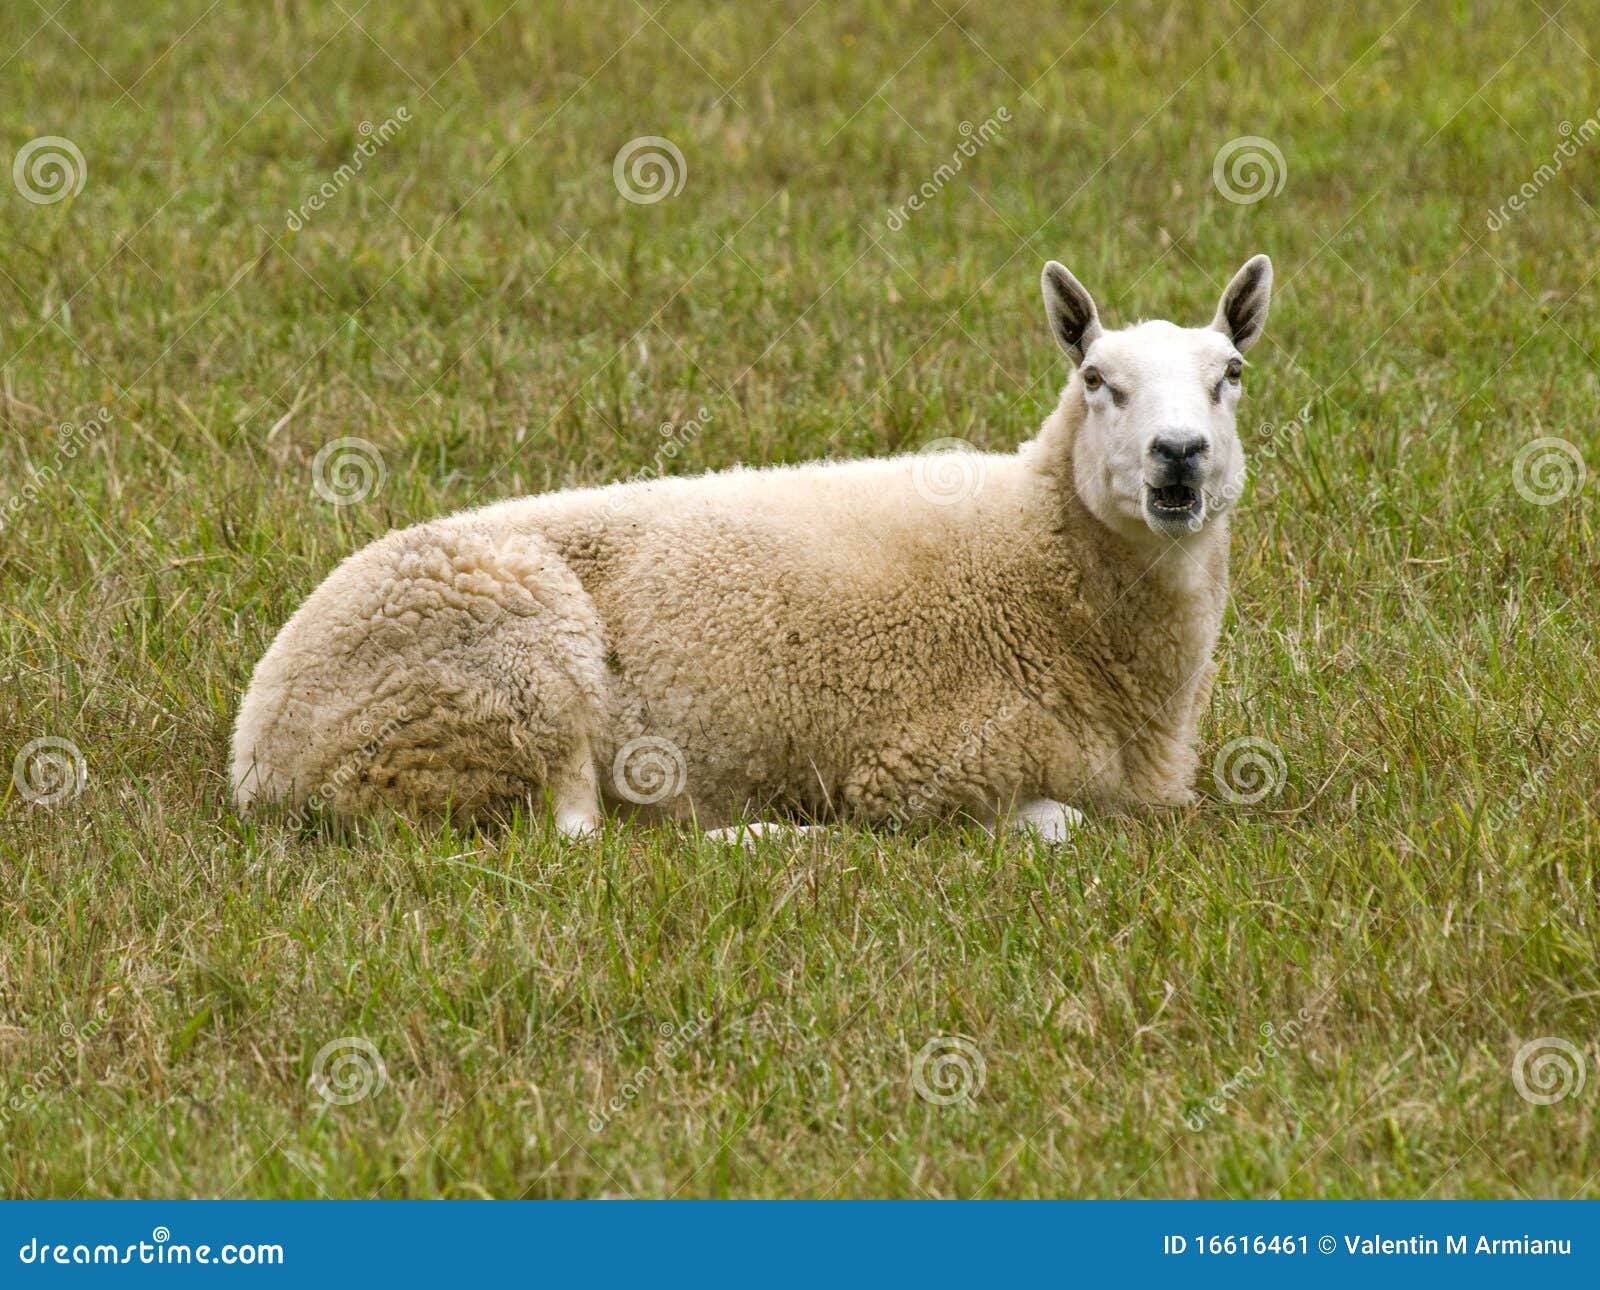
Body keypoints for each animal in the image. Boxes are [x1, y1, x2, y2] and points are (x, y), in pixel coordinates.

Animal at [231, 254, 1273, 844]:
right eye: (1096, 379)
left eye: (1231, 374)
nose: (1179, 454)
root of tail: (258, 748)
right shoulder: (921, 768)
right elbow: (1059, 827)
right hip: (509, 671)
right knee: (582, 840)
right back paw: (774, 837)